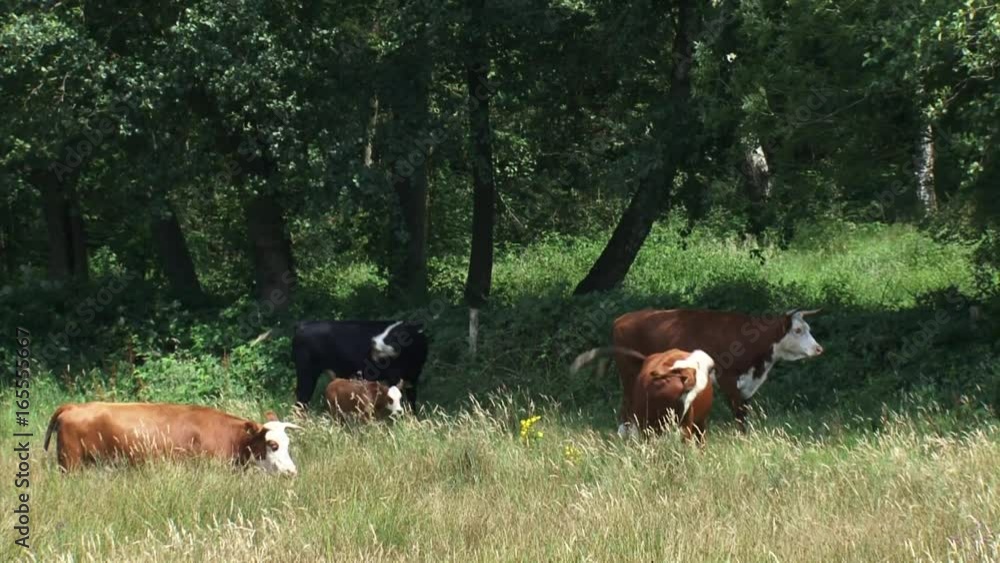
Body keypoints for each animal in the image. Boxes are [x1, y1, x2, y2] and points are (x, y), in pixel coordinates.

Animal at [292, 320, 428, 410]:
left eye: (396, 334)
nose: (373, 341)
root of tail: (303, 326)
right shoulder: (392, 379)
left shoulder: (412, 381)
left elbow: (411, 403)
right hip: (307, 374)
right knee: (302, 399)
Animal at [574, 308, 823, 436]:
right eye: (798, 330)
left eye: (808, 328)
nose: (819, 349)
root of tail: (621, 319)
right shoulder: (728, 378)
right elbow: (738, 413)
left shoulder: (747, 385)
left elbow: (744, 412)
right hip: (628, 374)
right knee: (626, 410)